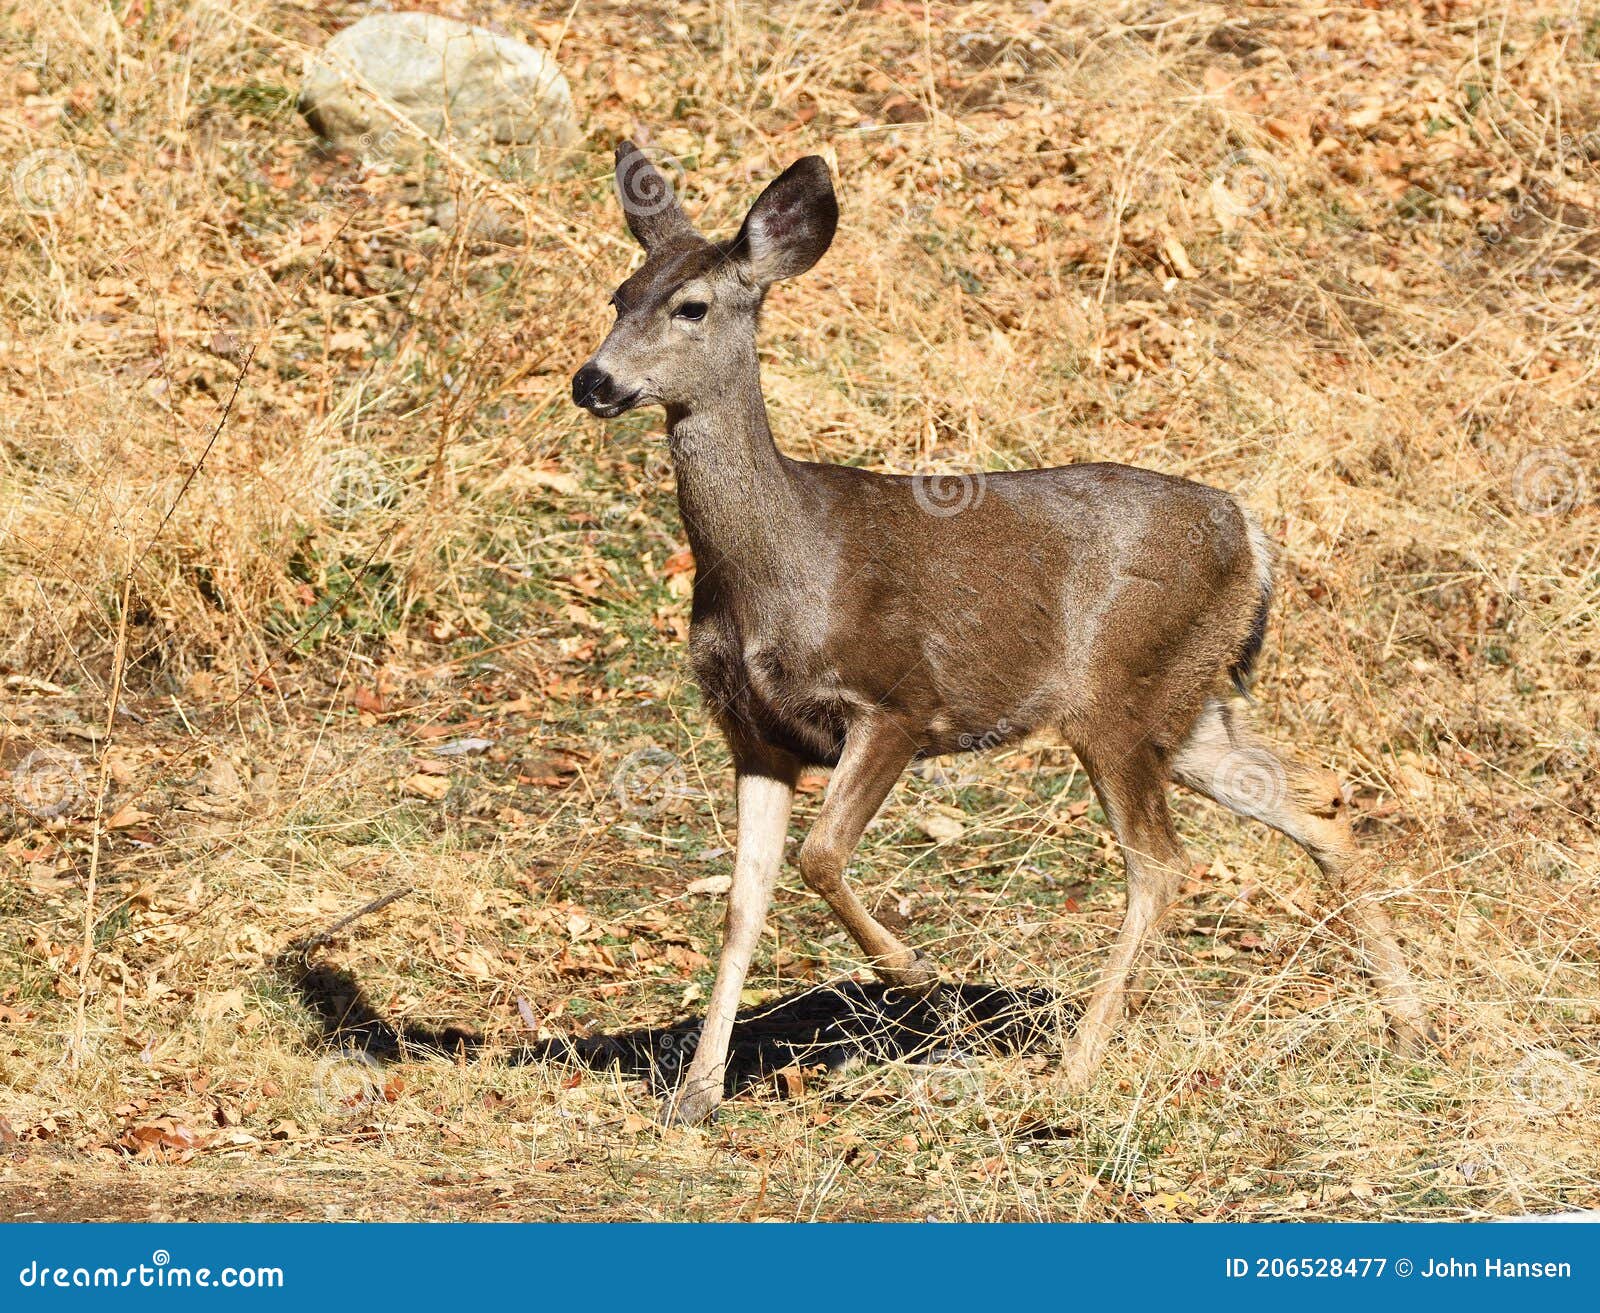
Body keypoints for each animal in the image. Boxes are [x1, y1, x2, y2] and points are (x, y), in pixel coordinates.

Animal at [571, 141, 1432, 1126]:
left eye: (692, 305)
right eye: (619, 293)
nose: (592, 380)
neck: (776, 566)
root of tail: (1251, 534)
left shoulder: (898, 700)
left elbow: (820, 857)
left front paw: (913, 973)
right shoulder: (754, 734)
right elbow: (742, 902)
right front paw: (697, 1093)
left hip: (1117, 694)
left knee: (1161, 862)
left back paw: (1075, 1066)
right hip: (1188, 700)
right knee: (1312, 794)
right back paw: (1406, 1025)